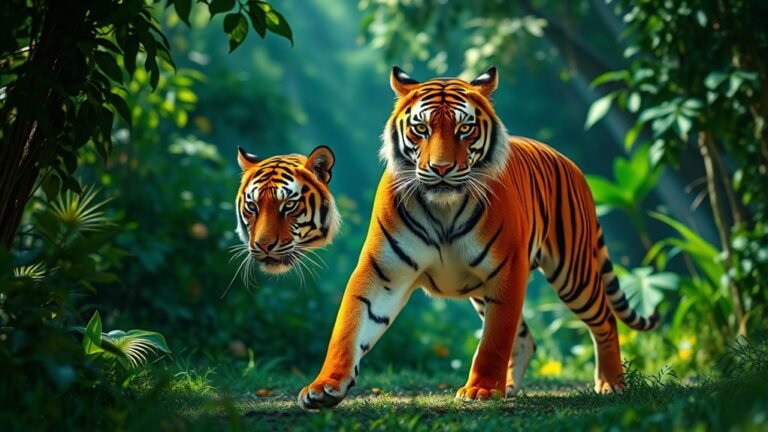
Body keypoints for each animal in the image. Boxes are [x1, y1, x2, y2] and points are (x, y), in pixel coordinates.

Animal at [297, 66, 658, 410]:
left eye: (465, 128)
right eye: (421, 129)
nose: (441, 168)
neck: (442, 210)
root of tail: (570, 162)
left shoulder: (507, 270)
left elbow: (494, 341)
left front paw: (481, 389)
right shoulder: (382, 273)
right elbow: (348, 327)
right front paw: (323, 387)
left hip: (573, 273)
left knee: (605, 319)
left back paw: (611, 383)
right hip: (484, 292)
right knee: (526, 337)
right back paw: (509, 387)